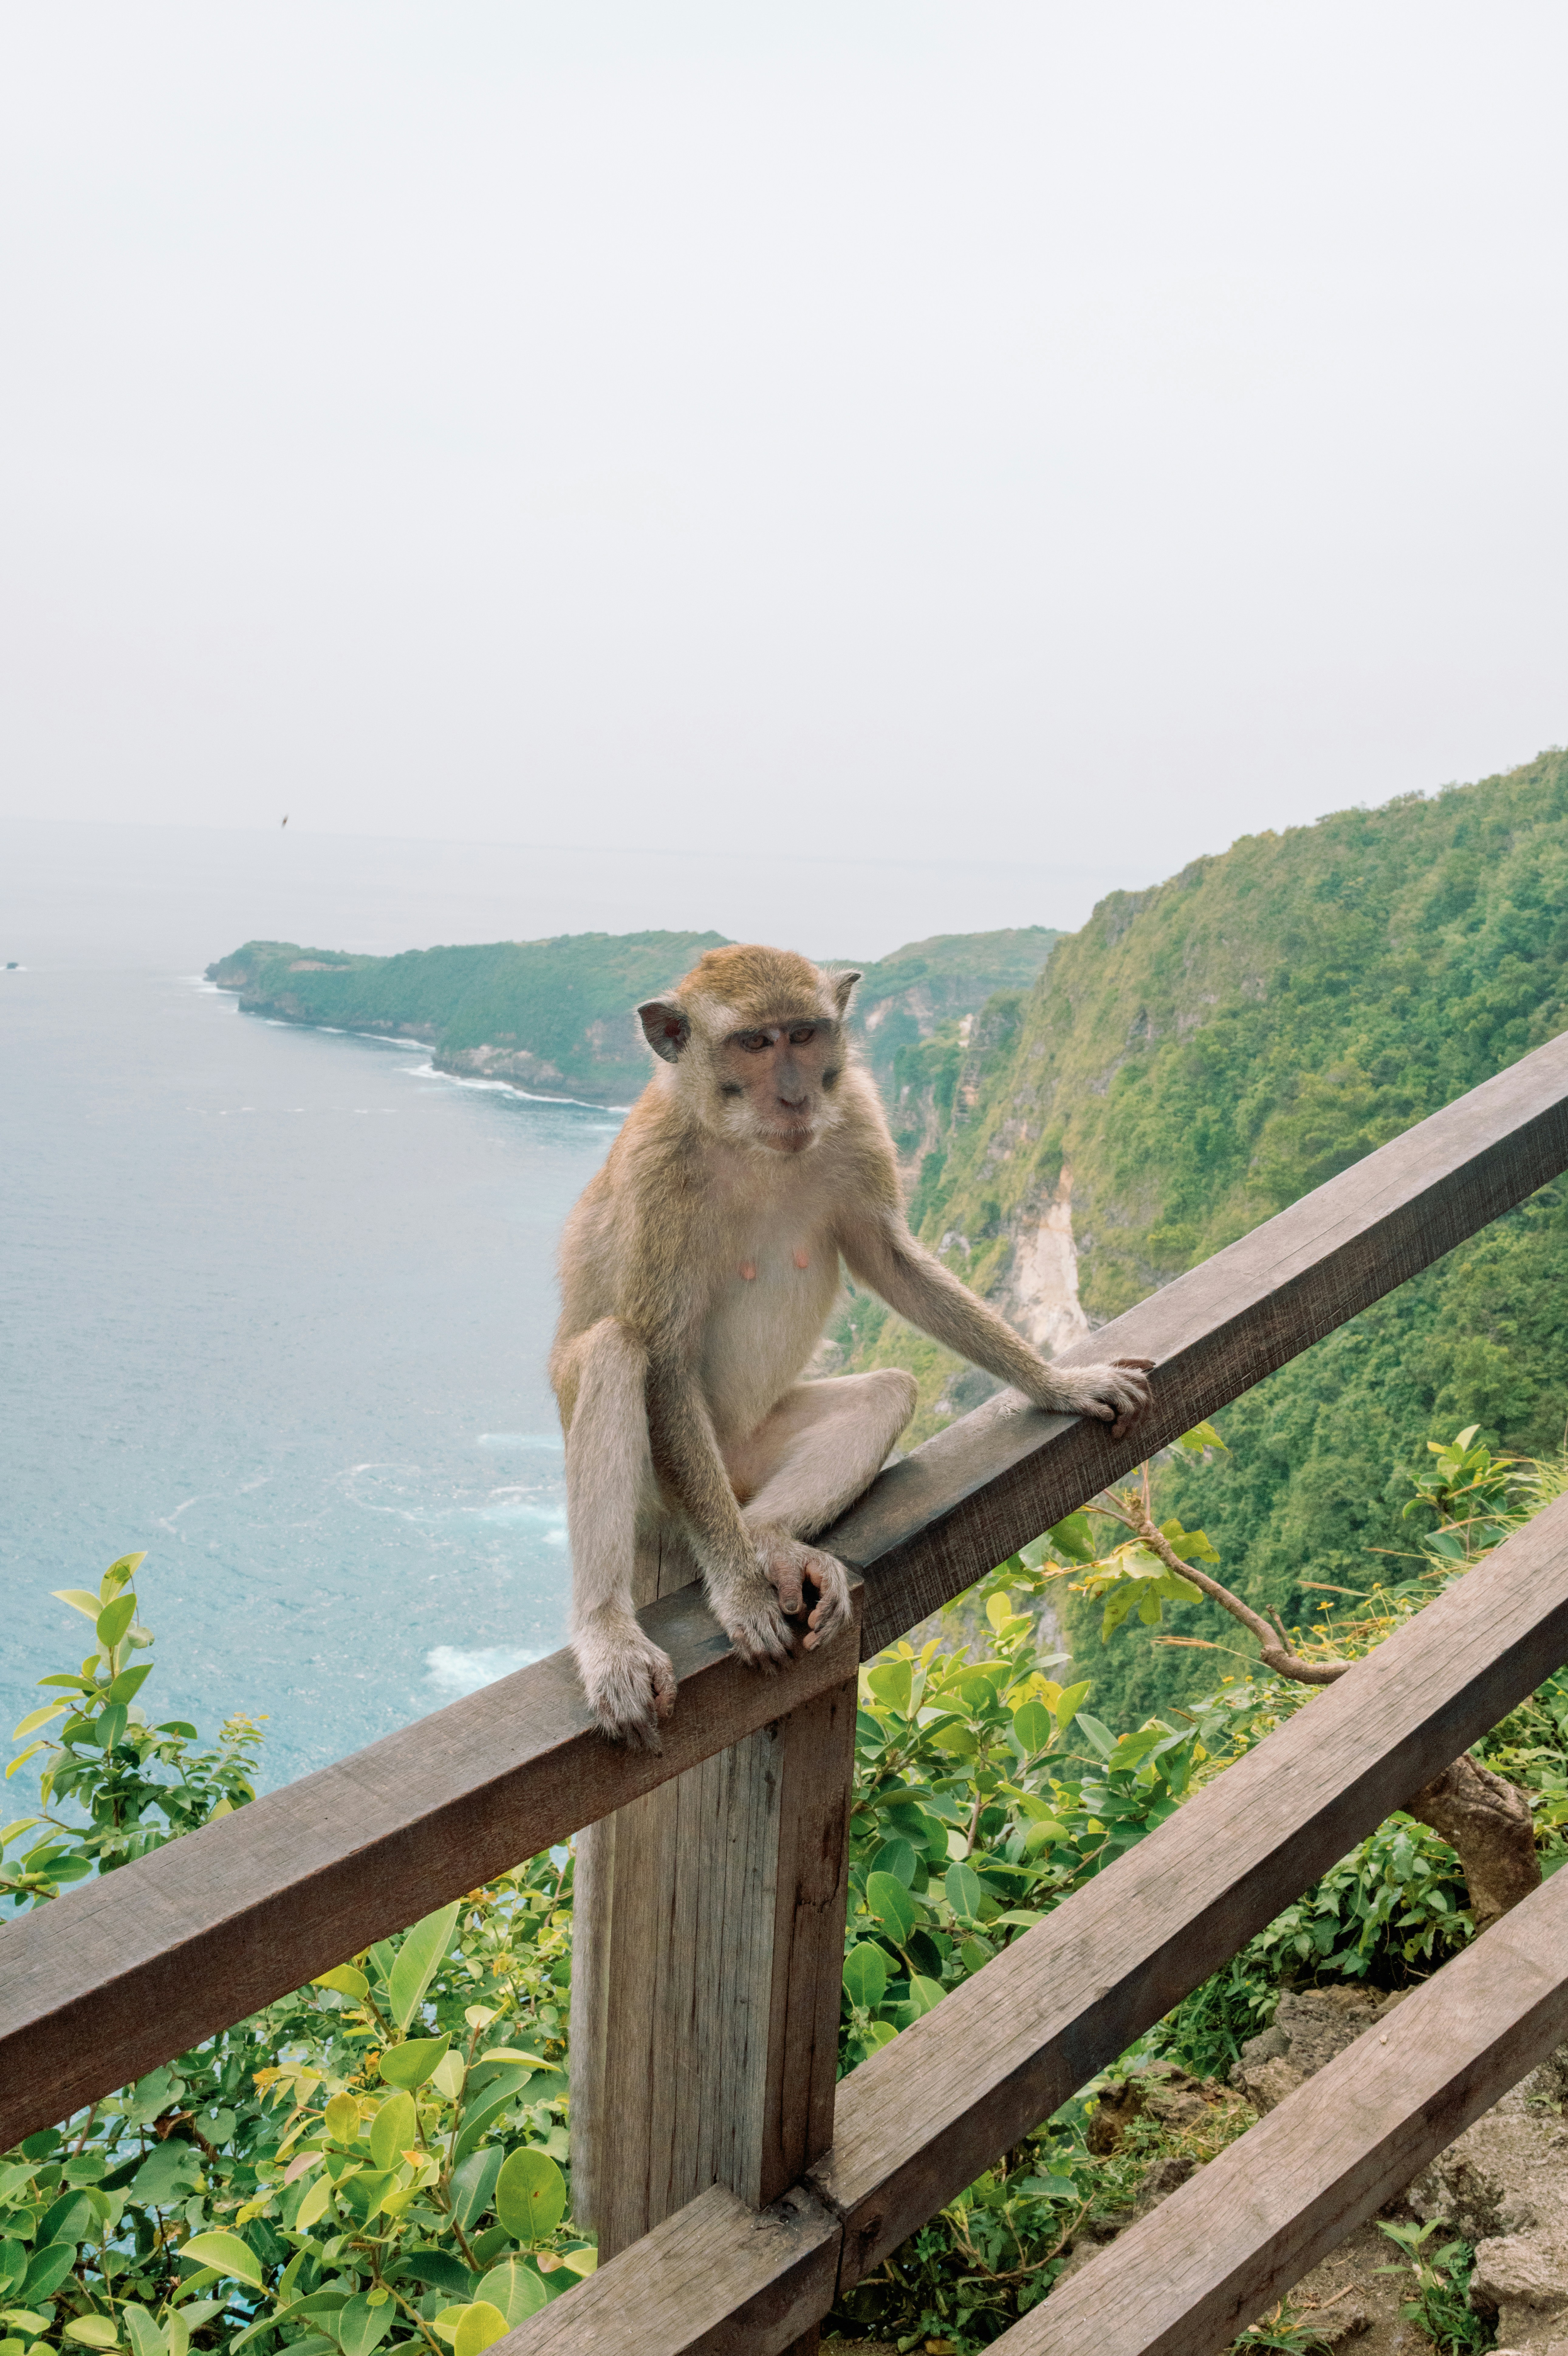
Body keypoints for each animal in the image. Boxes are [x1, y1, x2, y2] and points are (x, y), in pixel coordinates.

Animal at [550, 944, 1153, 1745]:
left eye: (804, 1034)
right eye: (753, 1042)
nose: (795, 1095)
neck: (743, 1141)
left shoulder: (857, 1114)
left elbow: (890, 1260)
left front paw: (1062, 1383)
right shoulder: (656, 1175)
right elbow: (666, 1358)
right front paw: (740, 1597)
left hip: (747, 1458)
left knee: (884, 1392)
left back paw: (769, 1540)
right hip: (669, 1490)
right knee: (618, 1351)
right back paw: (612, 1632)